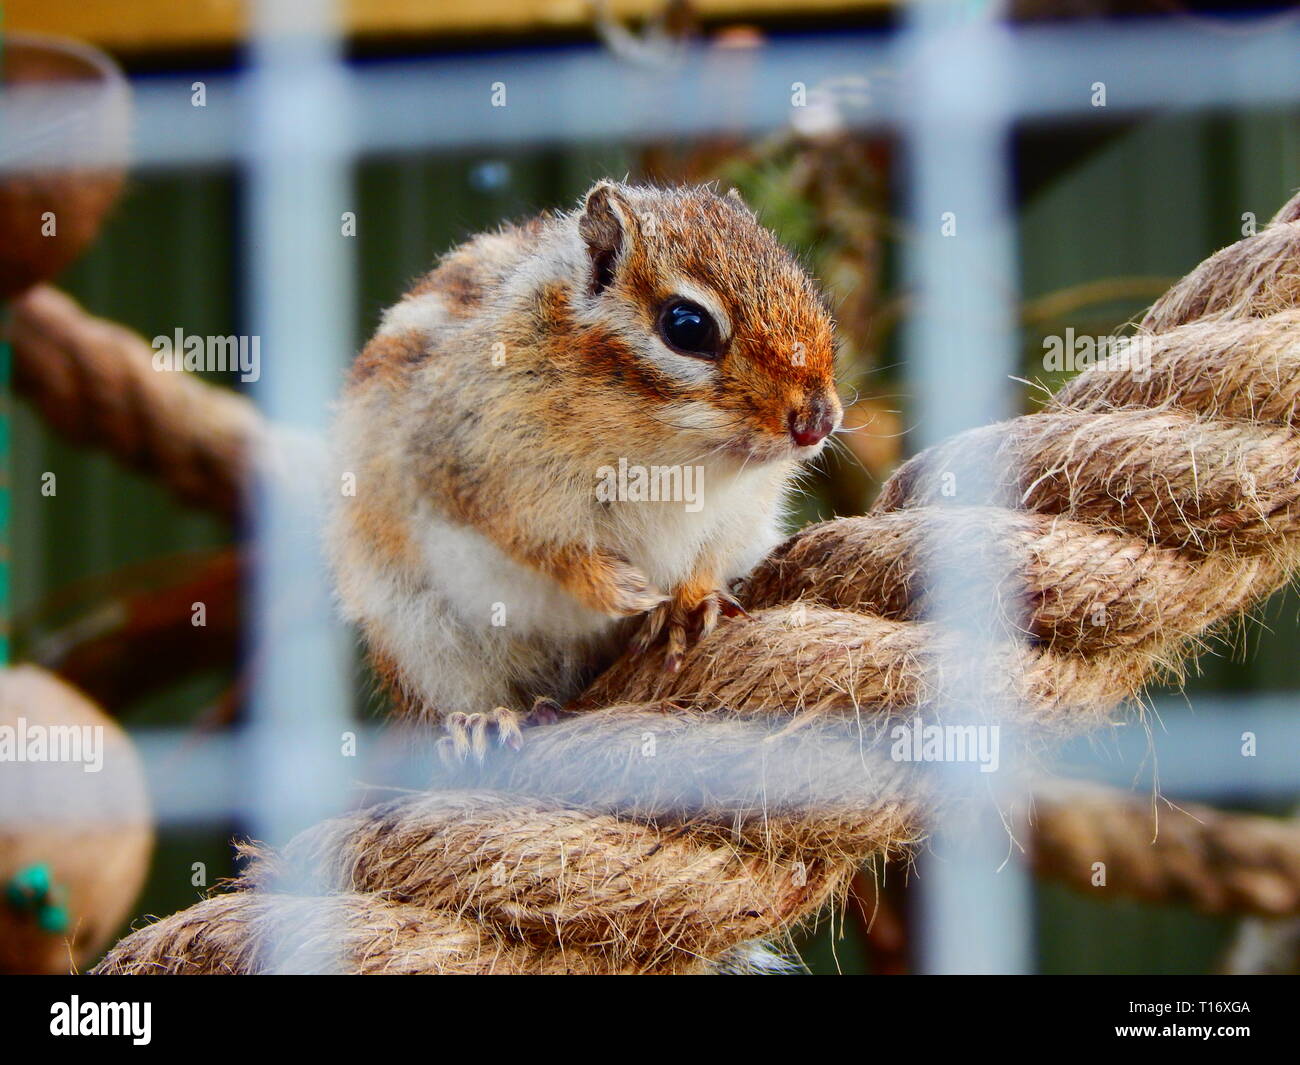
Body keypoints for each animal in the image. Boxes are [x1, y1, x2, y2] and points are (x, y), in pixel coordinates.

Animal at [329, 180, 842, 760]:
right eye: (687, 326)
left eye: (811, 293)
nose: (820, 421)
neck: (670, 454)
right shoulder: (470, 481)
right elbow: (541, 547)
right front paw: (620, 589)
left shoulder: (742, 511)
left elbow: (709, 556)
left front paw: (685, 605)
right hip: (425, 638)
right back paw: (487, 719)